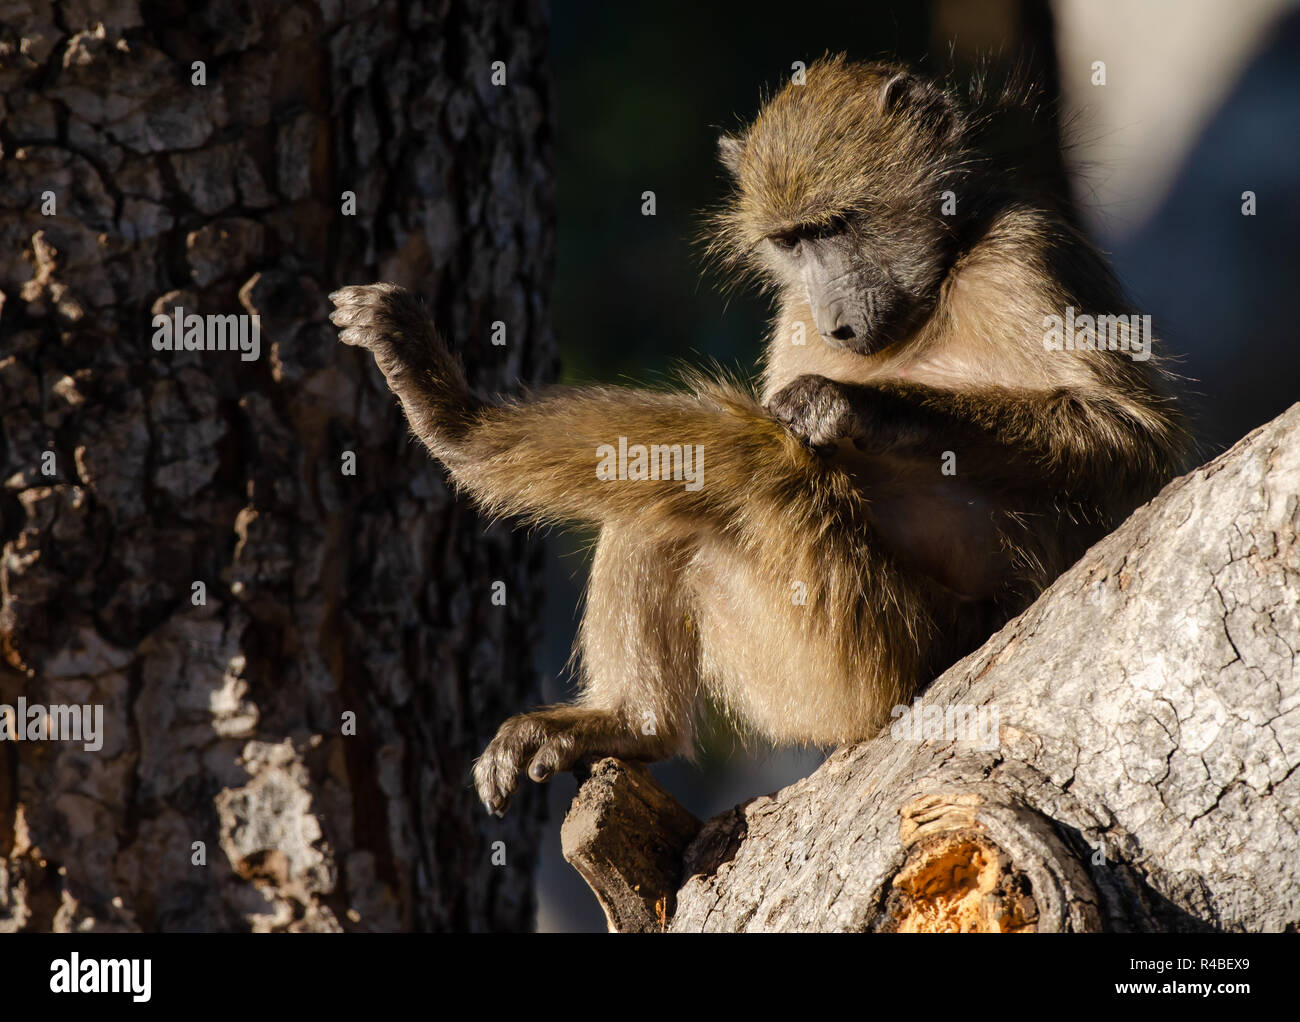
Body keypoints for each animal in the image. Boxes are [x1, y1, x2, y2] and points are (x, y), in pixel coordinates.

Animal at [329, 56, 1188, 817]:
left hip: (881, 649)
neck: (943, 277)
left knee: (739, 461)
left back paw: (460, 426)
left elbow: (1130, 443)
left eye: (838, 225)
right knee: (667, 491)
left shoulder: (1026, 251)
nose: (839, 325)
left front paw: (844, 407)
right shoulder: (795, 307)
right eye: (791, 242)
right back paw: (630, 725)